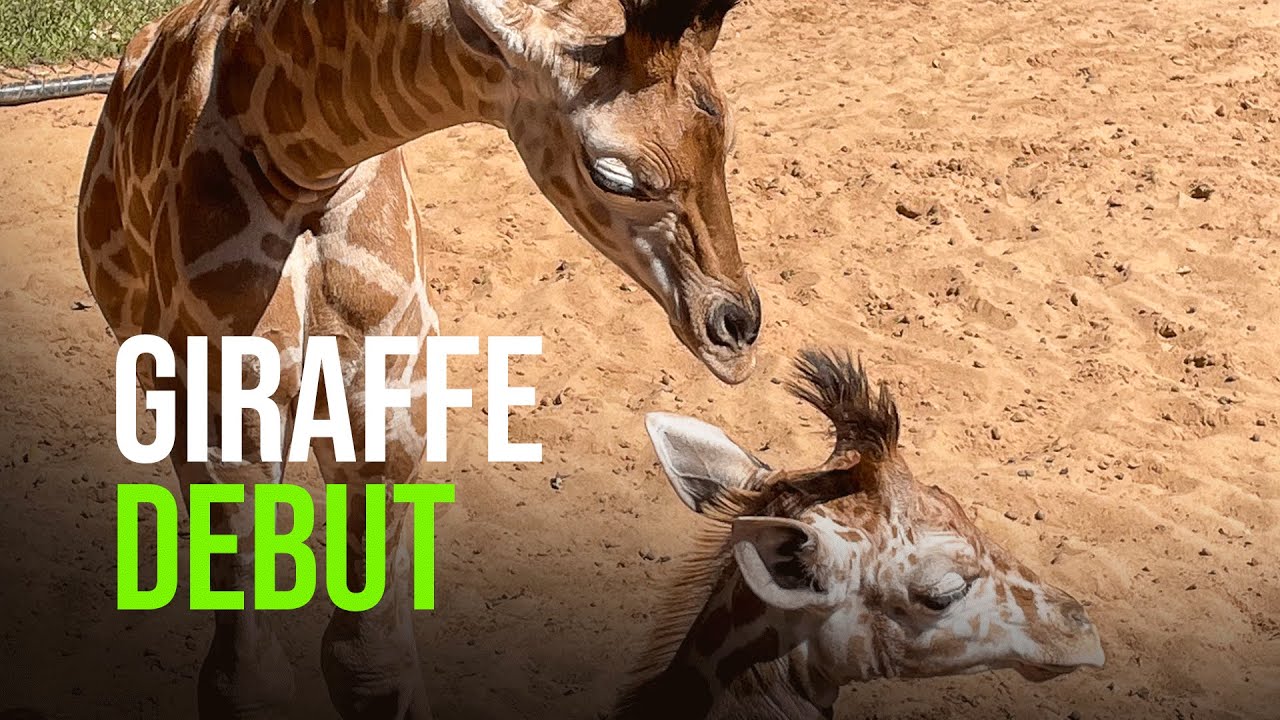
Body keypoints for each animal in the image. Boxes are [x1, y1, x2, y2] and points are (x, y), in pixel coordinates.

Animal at [76, 0, 756, 717]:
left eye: (730, 140)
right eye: (614, 175)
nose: (737, 329)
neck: (301, 157)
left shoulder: (388, 407)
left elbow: (368, 654)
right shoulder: (221, 412)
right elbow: (248, 674)